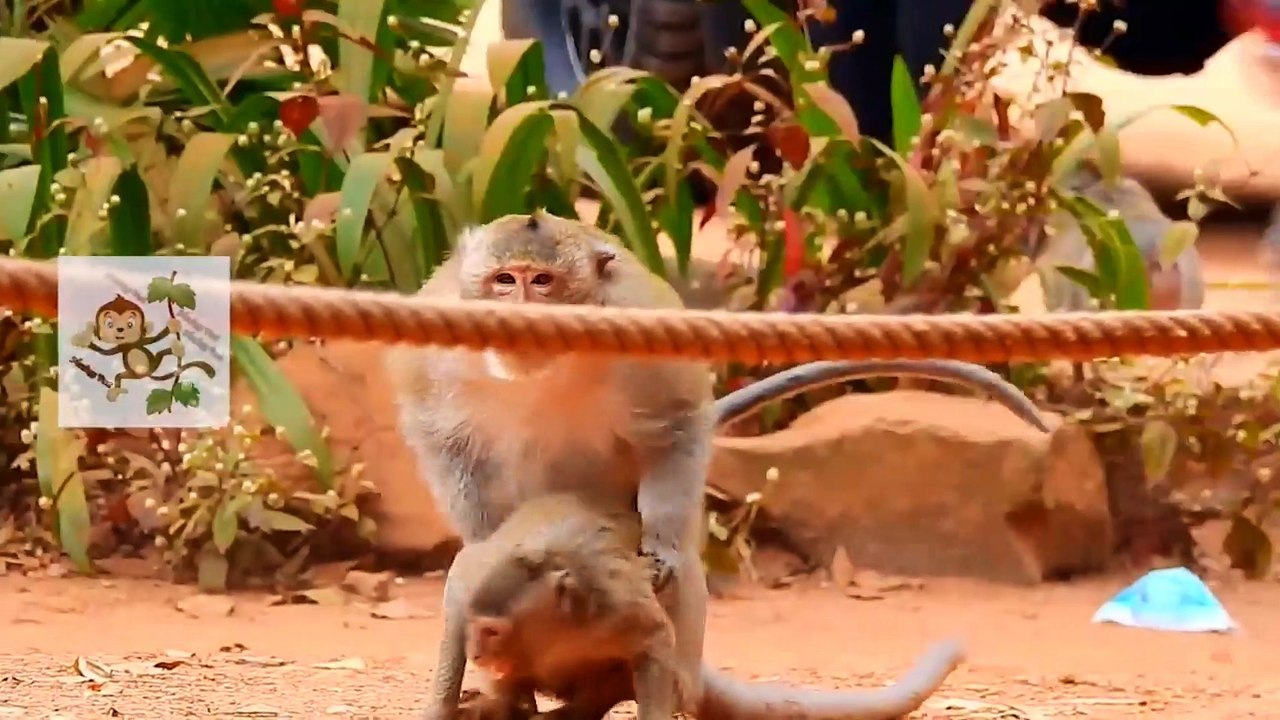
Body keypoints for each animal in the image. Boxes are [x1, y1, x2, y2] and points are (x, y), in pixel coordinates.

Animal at [70, 294, 216, 402]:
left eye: (130, 324)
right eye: (109, 324)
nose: (120, 329)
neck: (128, 345)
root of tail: (148, 374)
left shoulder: (139, 341)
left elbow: (155, 338)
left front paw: (172, 326)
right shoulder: (120, 348)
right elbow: (105, 352)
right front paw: (83, 341)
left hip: (153, 363)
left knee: (162, 353)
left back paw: (176, 350)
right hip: (132, 374)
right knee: (119, 376)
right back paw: (116, 390)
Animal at [445, 492, 964, 720]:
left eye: (491, 632)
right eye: (478, 631)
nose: (477, 651)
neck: (557, 631)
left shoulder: (611, 604)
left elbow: (653, 638)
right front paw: (498, 704)